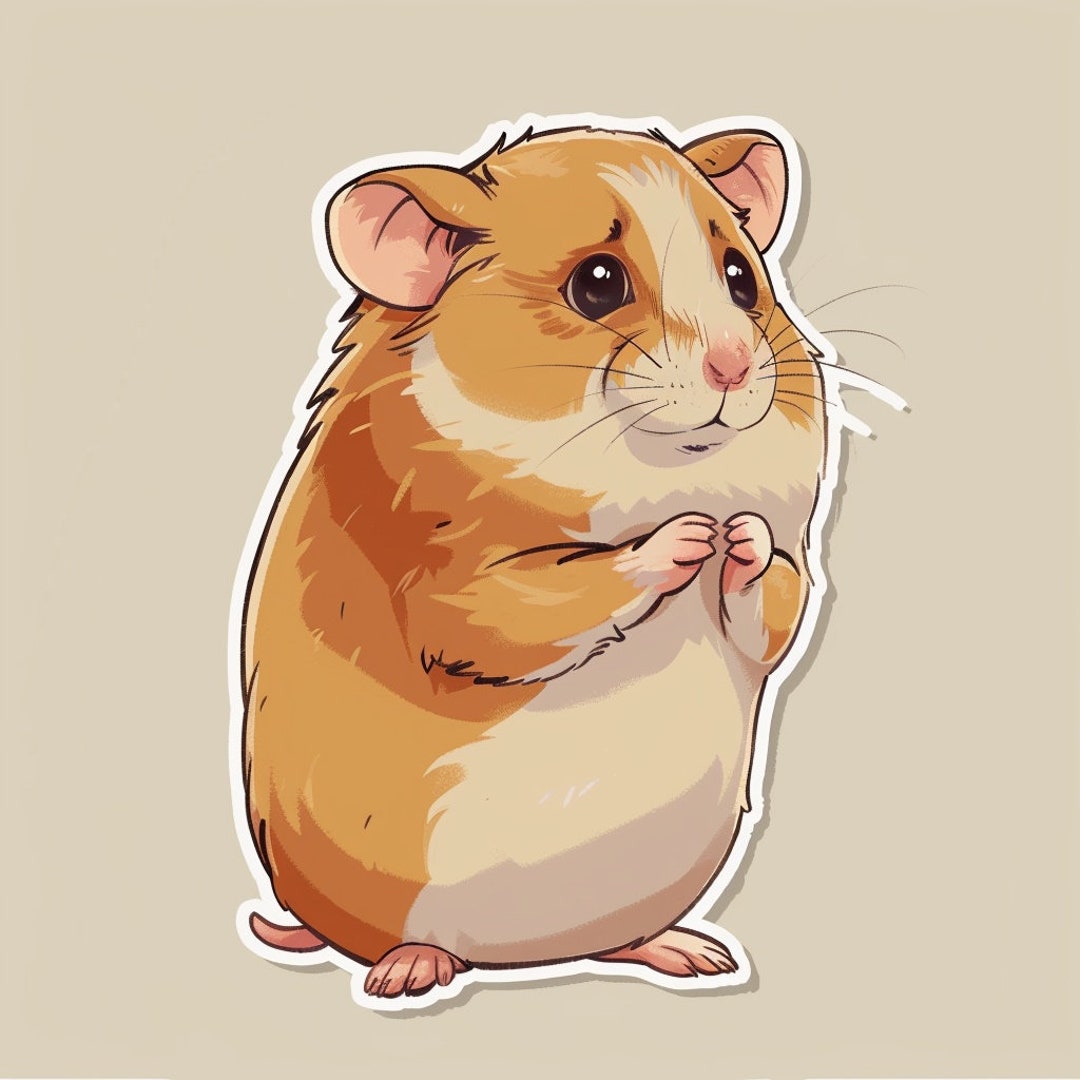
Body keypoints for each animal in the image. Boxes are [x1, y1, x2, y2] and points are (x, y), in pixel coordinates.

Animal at [237, 117, 828, 1004]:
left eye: (739, 276)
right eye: (597, 284)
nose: (732, 365)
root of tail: (526, 960)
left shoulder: (788, 579)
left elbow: (774, 594)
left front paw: (738, 535)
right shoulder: (452, 583)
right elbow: (558, 591)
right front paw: (690, 534)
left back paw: (693, 954)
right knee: (397, 945)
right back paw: (409, 974)